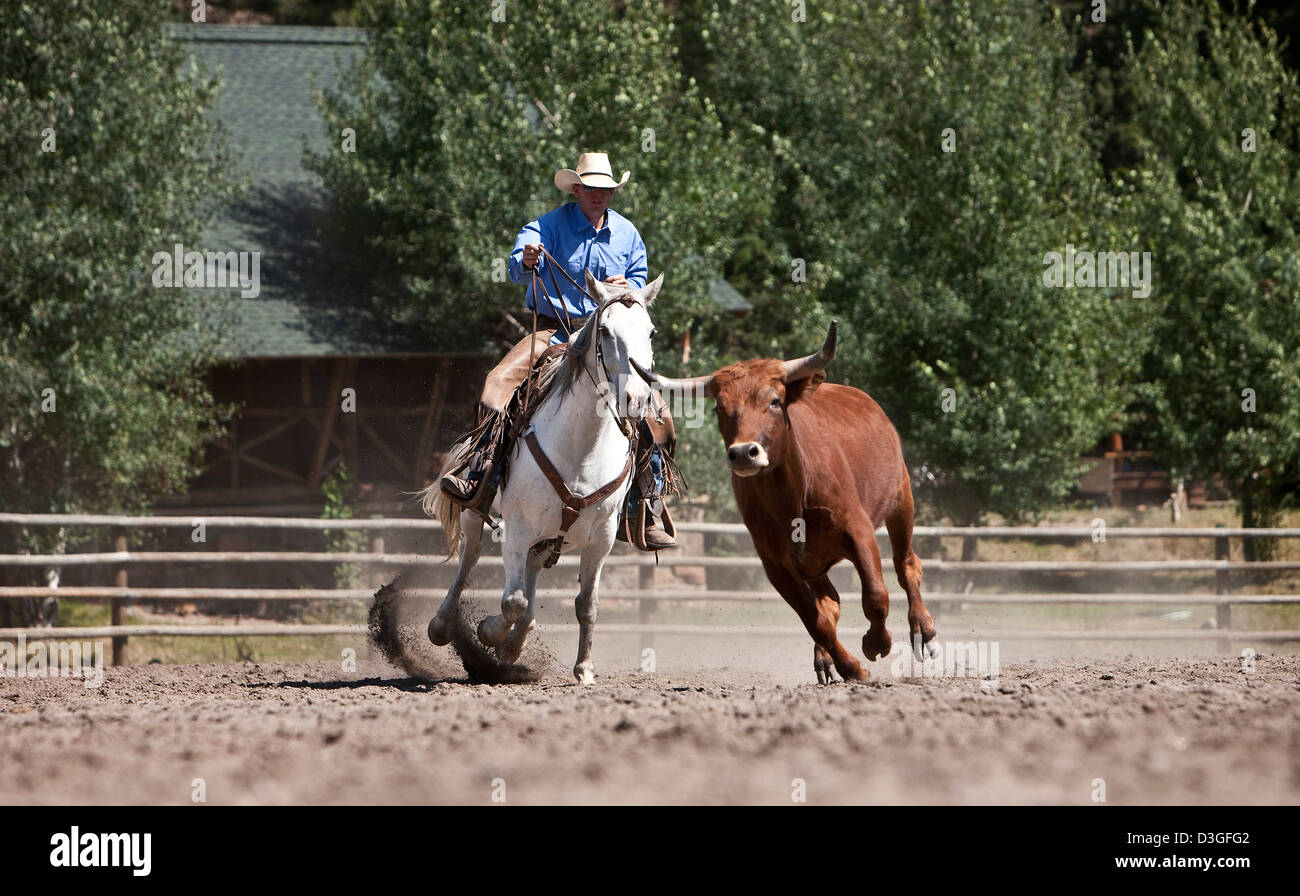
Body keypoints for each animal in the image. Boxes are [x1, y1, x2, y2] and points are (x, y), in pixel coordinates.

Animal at [635, 323, 939, 683]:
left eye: (775, 402)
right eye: (719, 408)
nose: (744, 452)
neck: (792, 500)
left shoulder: (859, 531)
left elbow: (876, 596)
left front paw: (876, 643)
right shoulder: (777, 566)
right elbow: (817, 623)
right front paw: (850, 667)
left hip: (901, 499)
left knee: (907, 565)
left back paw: (923, 630)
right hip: (812, 562)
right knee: (830, 603)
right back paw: (825, 660)